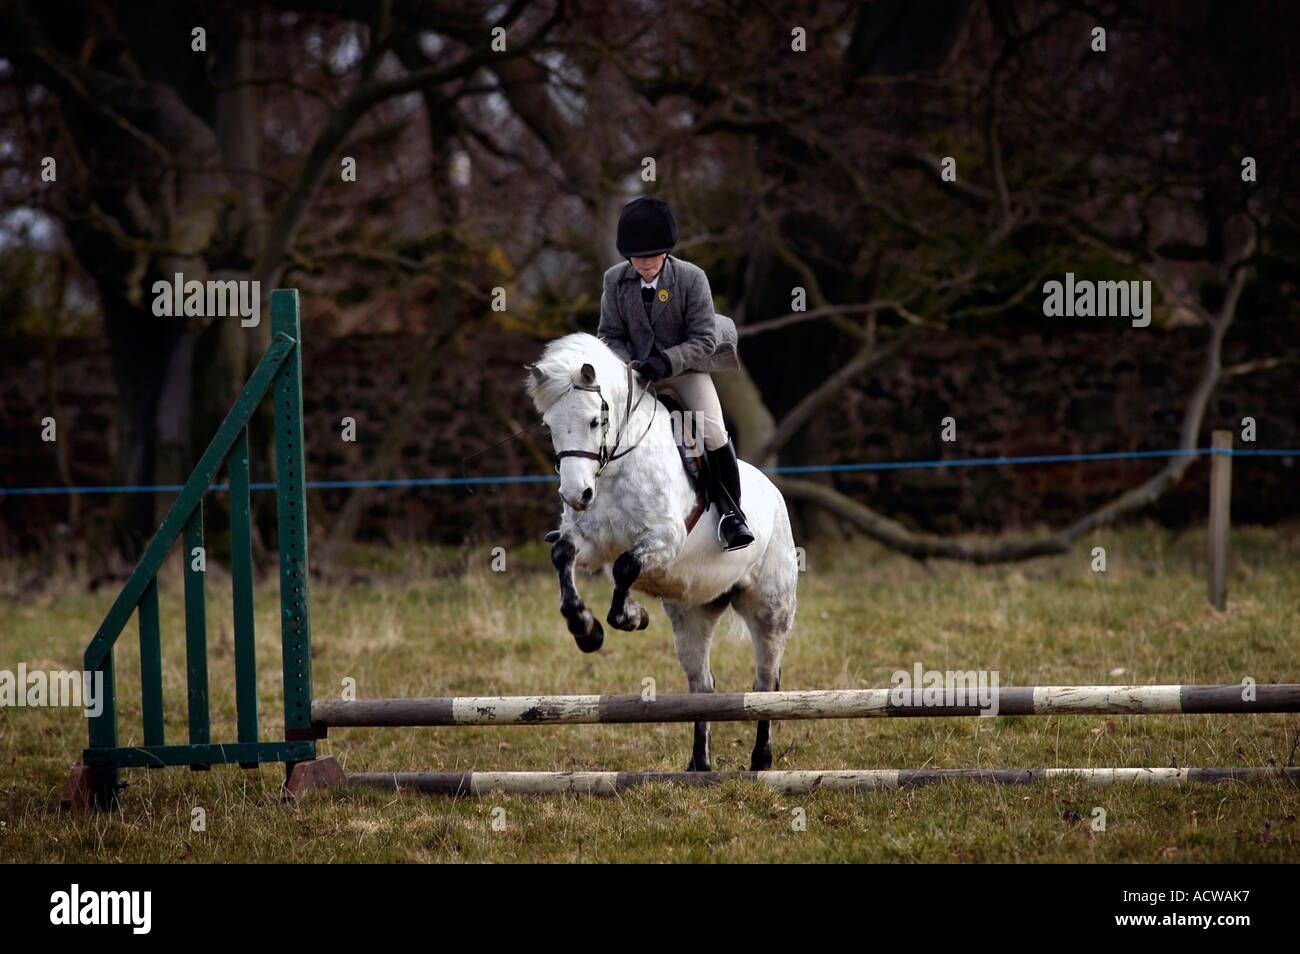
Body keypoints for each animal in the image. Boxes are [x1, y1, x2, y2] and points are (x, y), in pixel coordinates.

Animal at [525, 333, 799, 771]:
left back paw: (761, 759)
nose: (575, 494)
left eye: (595, 420)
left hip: (769, 609)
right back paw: (699, 765)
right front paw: (585, 629)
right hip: (693, 612)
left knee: (767, 682)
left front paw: (631, 617)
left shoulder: (665, 539)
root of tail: (773, 490)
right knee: (703, 685)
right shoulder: (590, 542)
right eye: (549, 426)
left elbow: (625, 567)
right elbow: (564, 556)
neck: (615, 467)